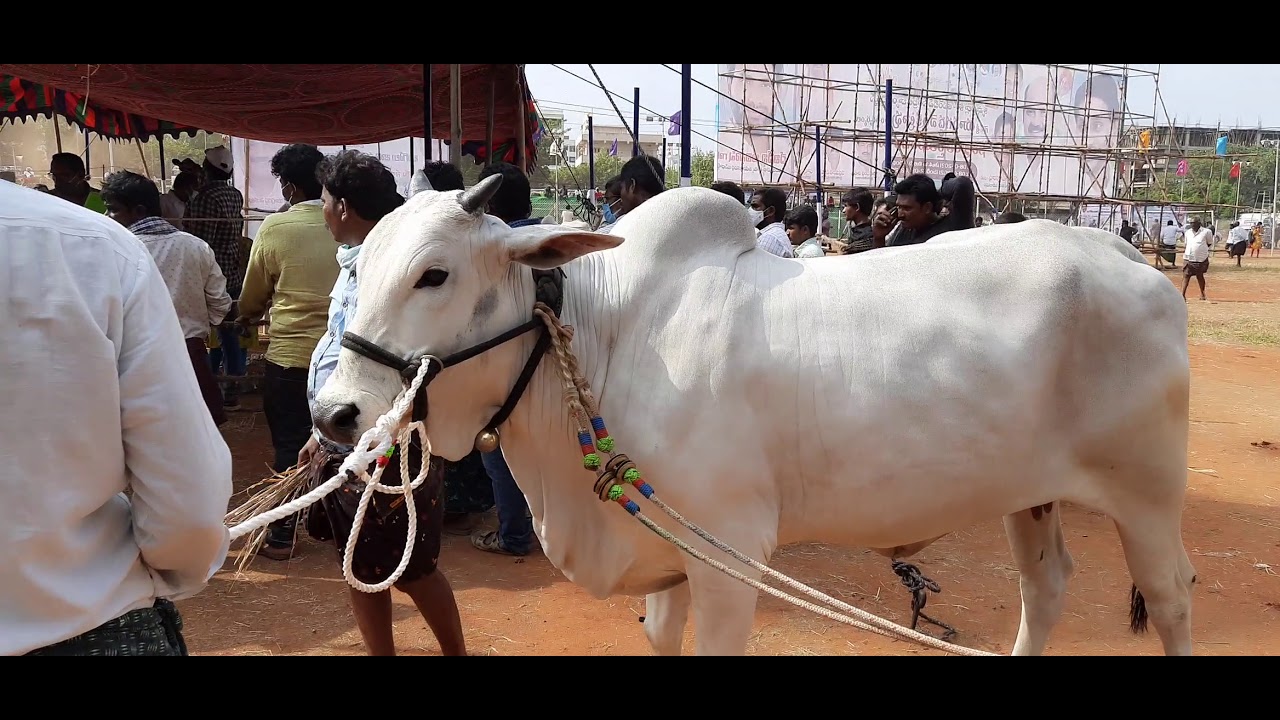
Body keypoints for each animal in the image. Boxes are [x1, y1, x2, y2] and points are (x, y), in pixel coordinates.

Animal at [313, 176, 1196, 656]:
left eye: (433, 274)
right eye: (359, 264)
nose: (335, 412)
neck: (606, 337)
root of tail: (1120, 253)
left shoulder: (726, 555)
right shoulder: (664, 558)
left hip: (1148, 497)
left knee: (1172, 598)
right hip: (1029, 495)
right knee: (1045, 589)